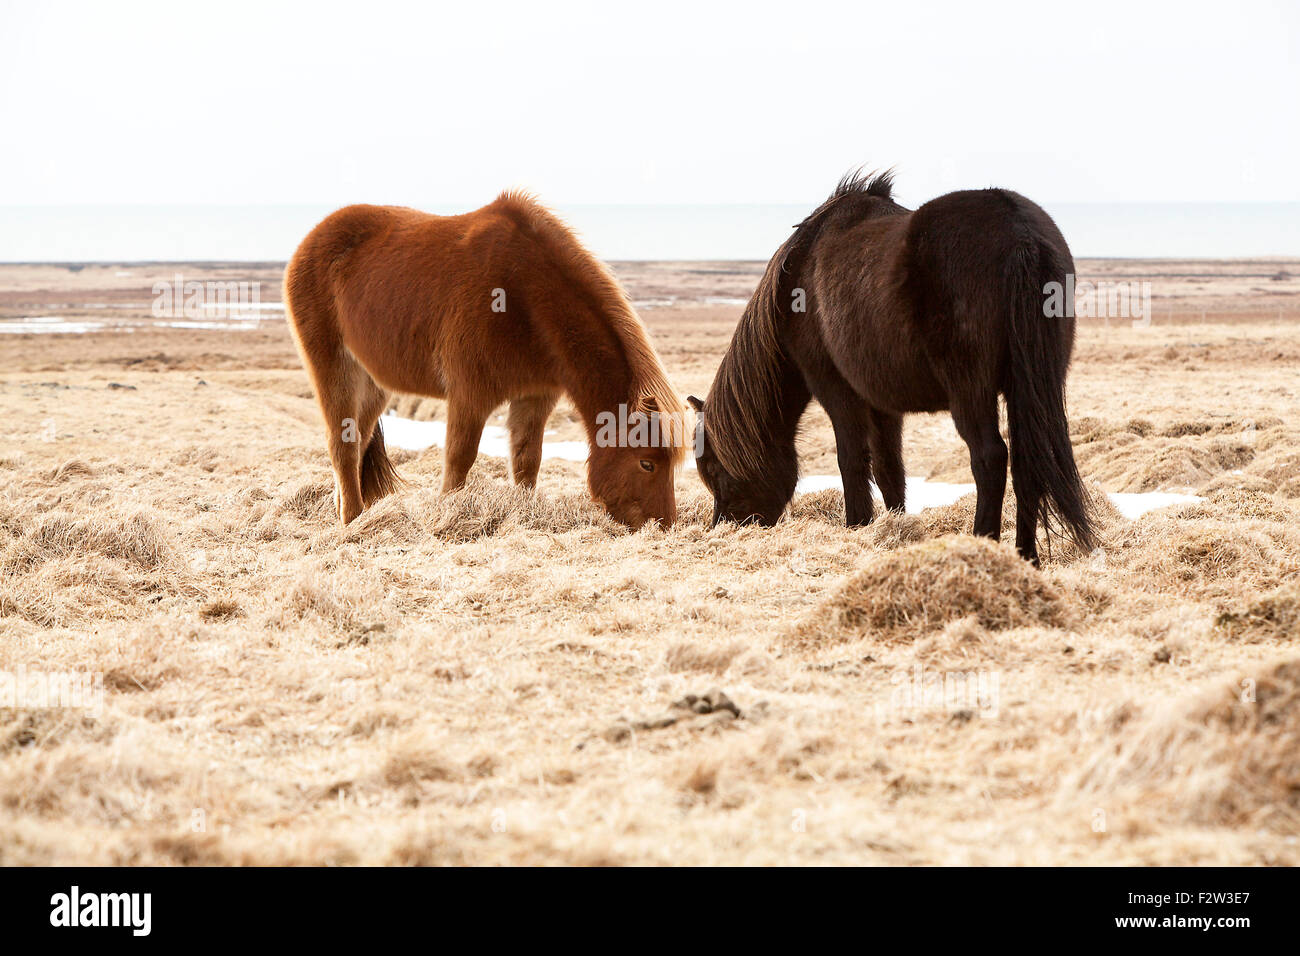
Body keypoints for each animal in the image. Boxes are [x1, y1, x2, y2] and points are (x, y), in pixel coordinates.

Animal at [283, 194, 689, 529]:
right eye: (647, 462)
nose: (664, 526)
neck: (524, 297)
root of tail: (314, 237)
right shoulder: (470, 396)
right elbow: (459, 461)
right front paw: (446, 518)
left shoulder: (535, 397)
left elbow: (527, 461)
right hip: (334, 368)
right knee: (342, 444)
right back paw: (352, 522)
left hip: (373, 381)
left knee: (357, 441)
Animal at [689, 170, 1095, 564]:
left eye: (715, 469)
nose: (723, 526)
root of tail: (1020, 233)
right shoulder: (883, 404)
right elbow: (889, 469)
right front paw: (894, 528)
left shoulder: (836, 391)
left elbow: (851, 460)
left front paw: (857, 525)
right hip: (1029, 389)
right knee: (1029, 463)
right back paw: (1027, 557)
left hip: (971, 393)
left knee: (990, 457)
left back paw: (982, 542)